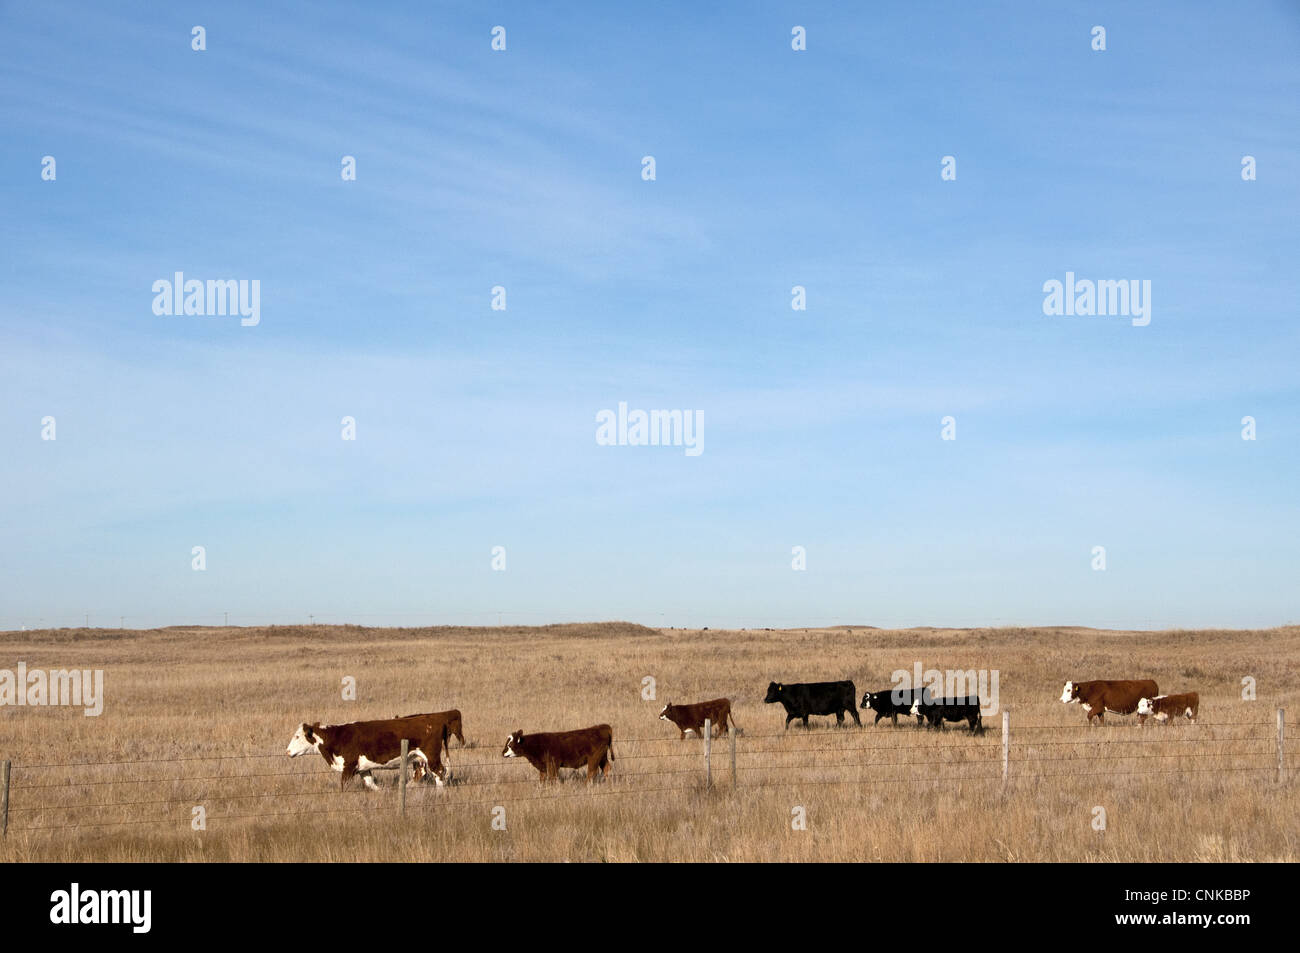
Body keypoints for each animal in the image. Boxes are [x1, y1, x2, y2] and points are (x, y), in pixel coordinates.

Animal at [286, 715, 450, 790]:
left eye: (297, 736)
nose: (287, 751)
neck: (336, 736)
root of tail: (434, 720)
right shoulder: (362, 768)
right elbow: (371, 783)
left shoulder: (348, 767)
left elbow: (344, 785)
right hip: (418, 757)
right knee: (421, 772)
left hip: (431, 755)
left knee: (440, 772)